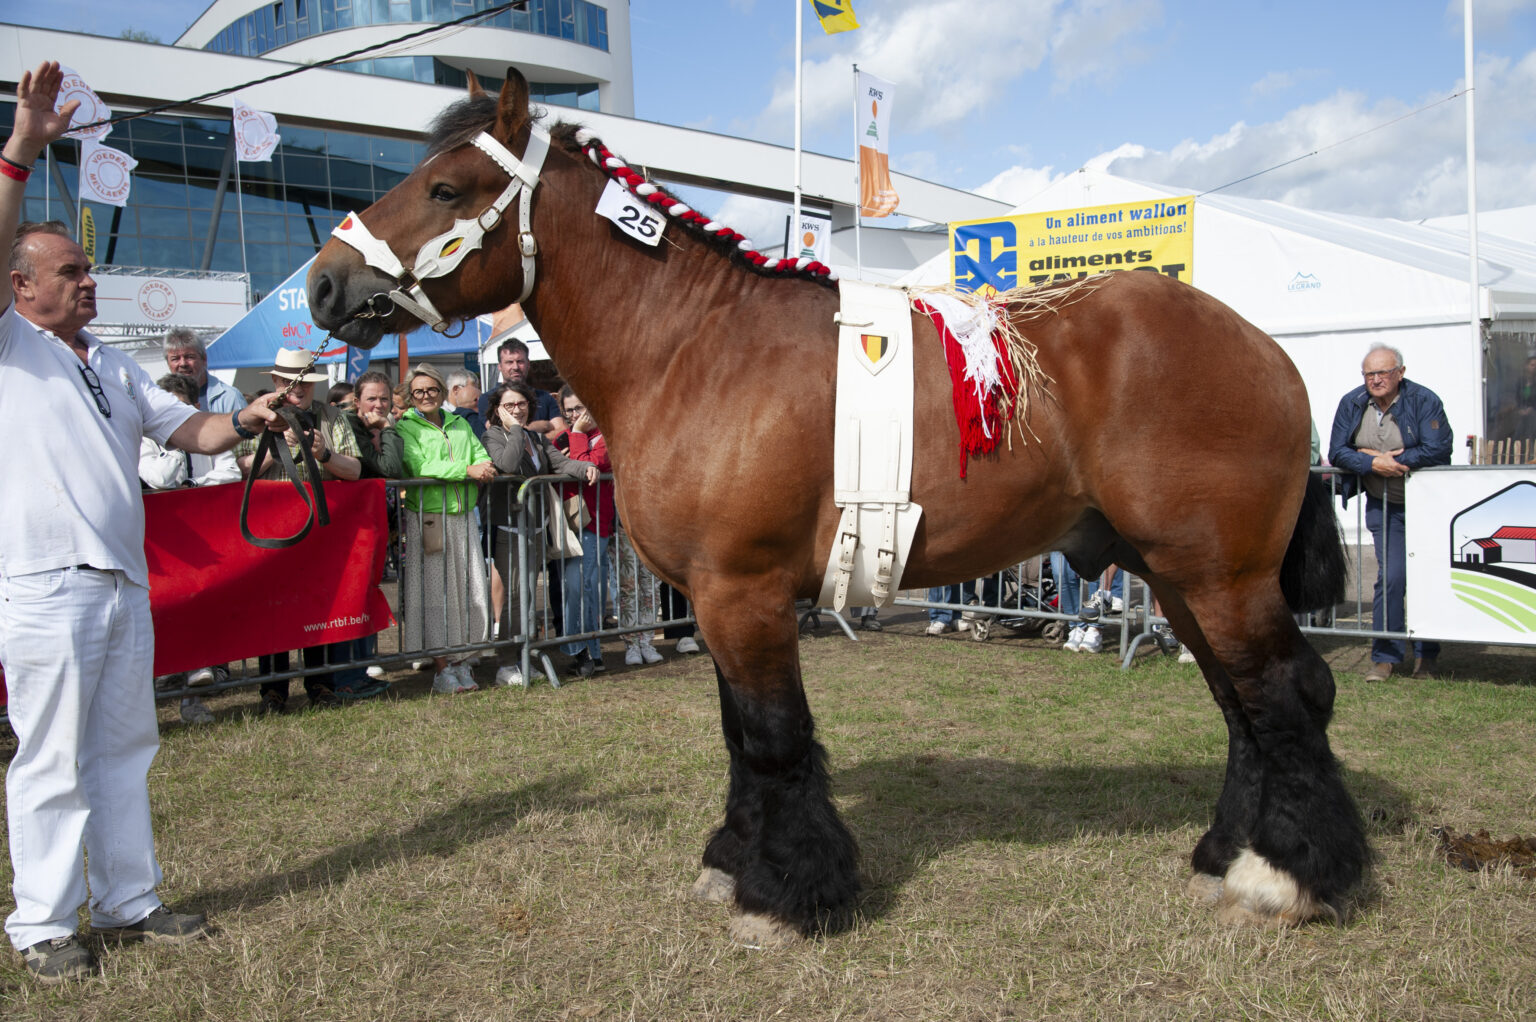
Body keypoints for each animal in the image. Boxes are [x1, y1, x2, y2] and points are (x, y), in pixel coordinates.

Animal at [308, 71, 1367, 944]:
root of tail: (1266, 349)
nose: (323, 282)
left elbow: (775, 740)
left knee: (1287, 695)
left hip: (1219, 576)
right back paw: (1227, 856)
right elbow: (742, 737)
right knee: (1242, 707)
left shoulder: (743, 593)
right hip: (1180, 577)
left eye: (446, 190)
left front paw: (786, 894)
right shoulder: (717, 599)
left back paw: (1287, 877)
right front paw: (735, 865)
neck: (692, 348)